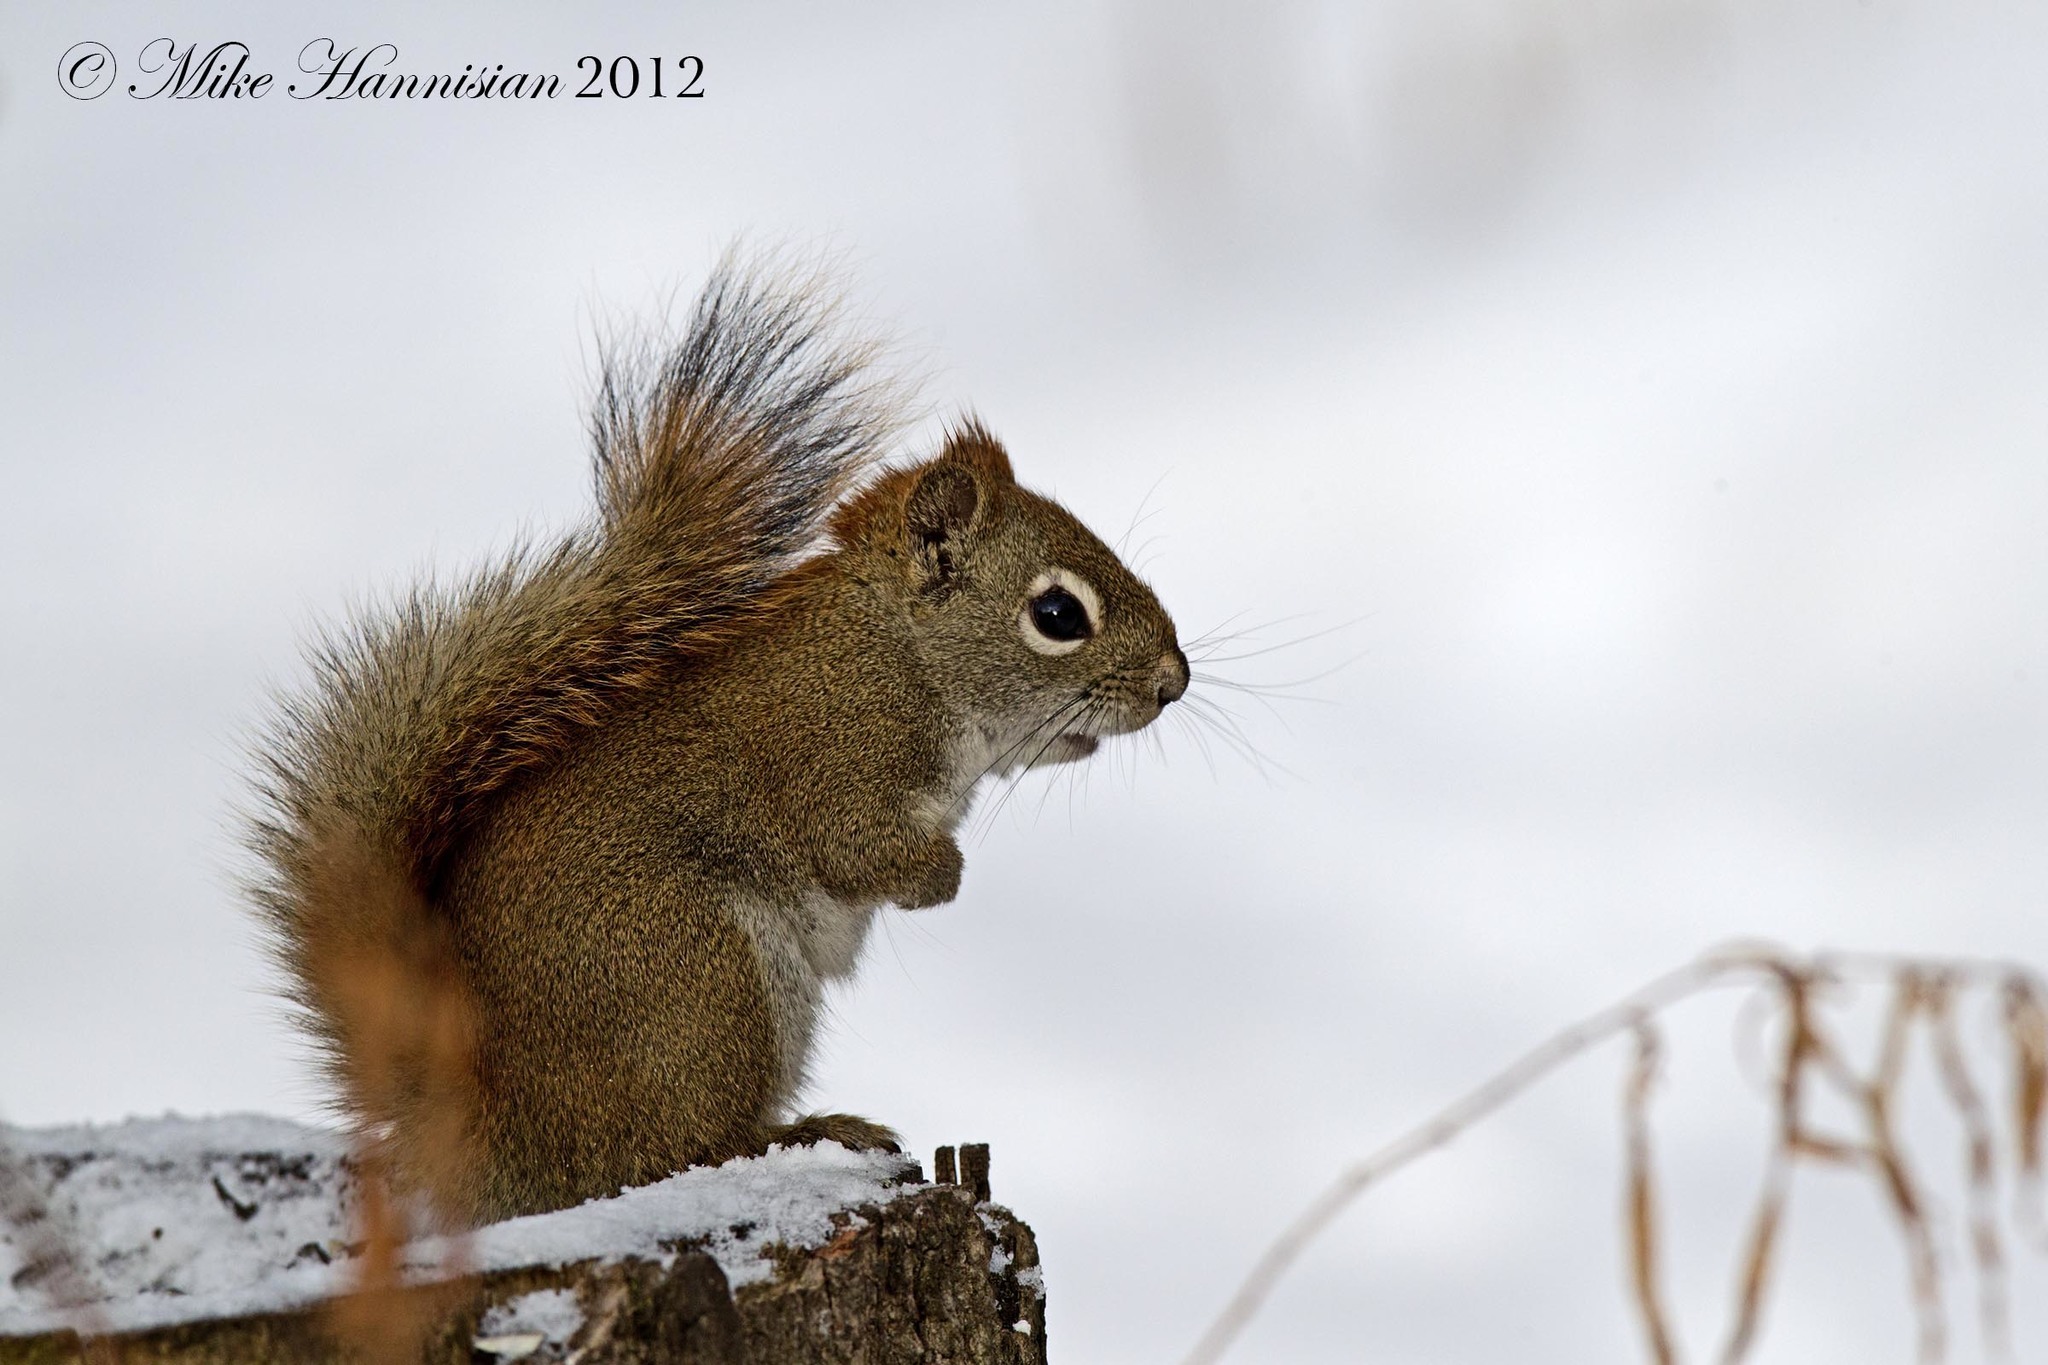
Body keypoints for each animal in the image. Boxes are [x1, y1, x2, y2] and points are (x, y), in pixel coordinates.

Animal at [245, 259, 1190, 1222]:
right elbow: (855, 848)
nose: (1173, 680)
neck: (897, 652)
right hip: (700, 975)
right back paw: (809, 1132)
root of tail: (492, 1135)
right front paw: (941, 876)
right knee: (672, 1148)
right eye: (1058, 613)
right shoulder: (835, 756)